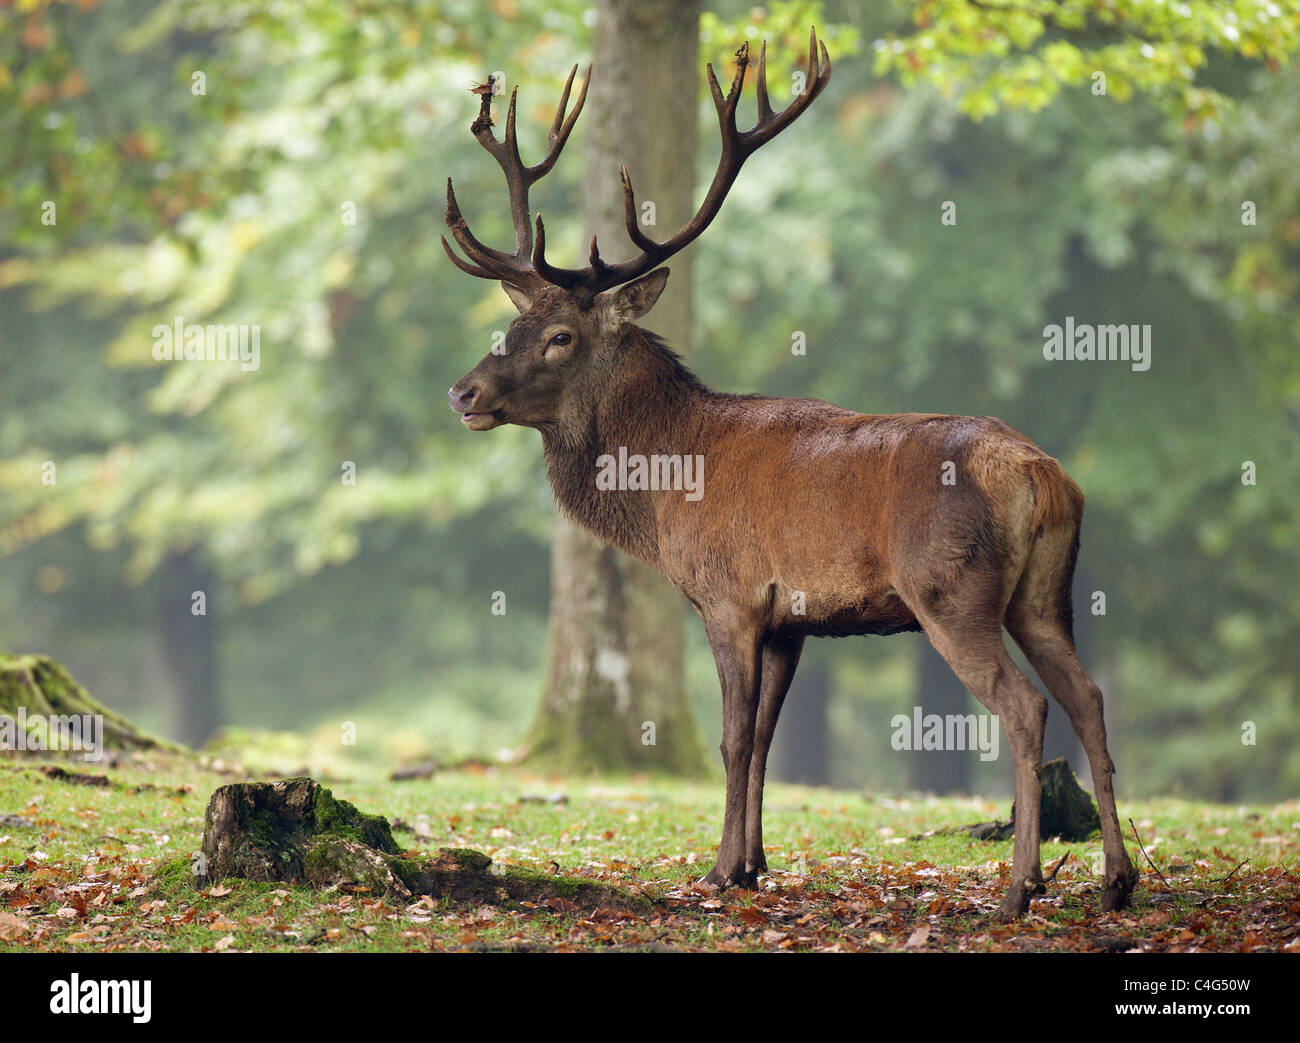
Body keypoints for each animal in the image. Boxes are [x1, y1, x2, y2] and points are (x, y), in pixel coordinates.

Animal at [442, 29, 1138, 919]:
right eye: (512, 322)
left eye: (560, 334)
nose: (463, 392)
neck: (663, 487)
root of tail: (1042, 476)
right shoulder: (791, 619)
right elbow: (769, 734)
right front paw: (753, 863)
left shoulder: (728, 593)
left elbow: (734, 734)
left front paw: (714, 870)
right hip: (1046, 592)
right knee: (1088, 696)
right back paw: (1118, 877)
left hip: (951, 588)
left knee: (1025, 705)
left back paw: (1019, 886)